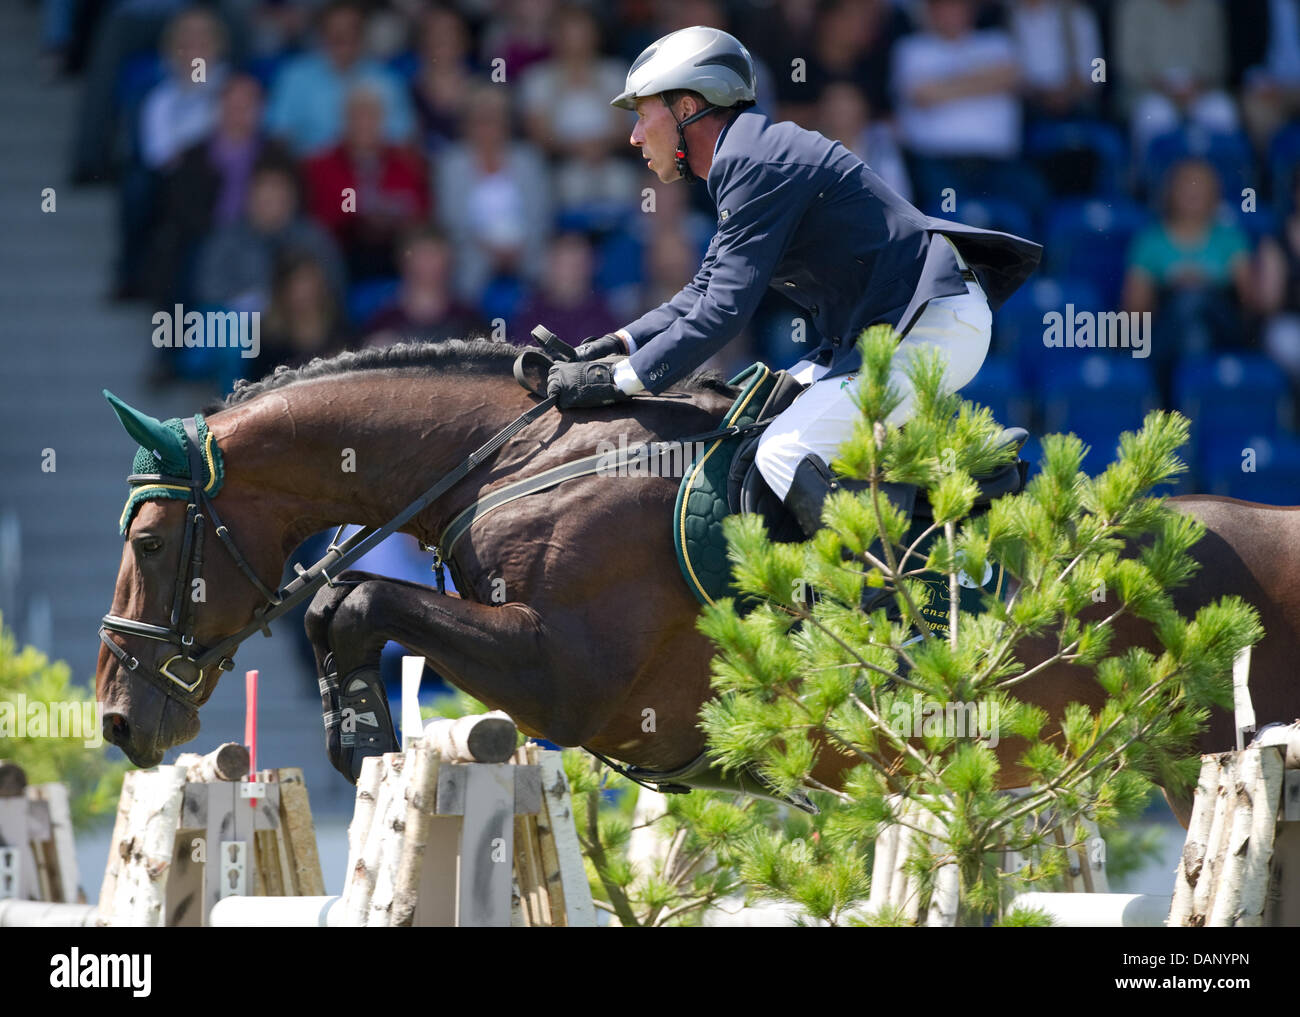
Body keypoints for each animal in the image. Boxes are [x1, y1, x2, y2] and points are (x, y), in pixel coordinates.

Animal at [96, 340, 1298, 824]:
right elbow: (351, 605)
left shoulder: (565, 672)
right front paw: (359, 723)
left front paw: (356, 730)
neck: (517, 464)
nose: (116, 719)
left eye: (150, 543)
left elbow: (357, 600)